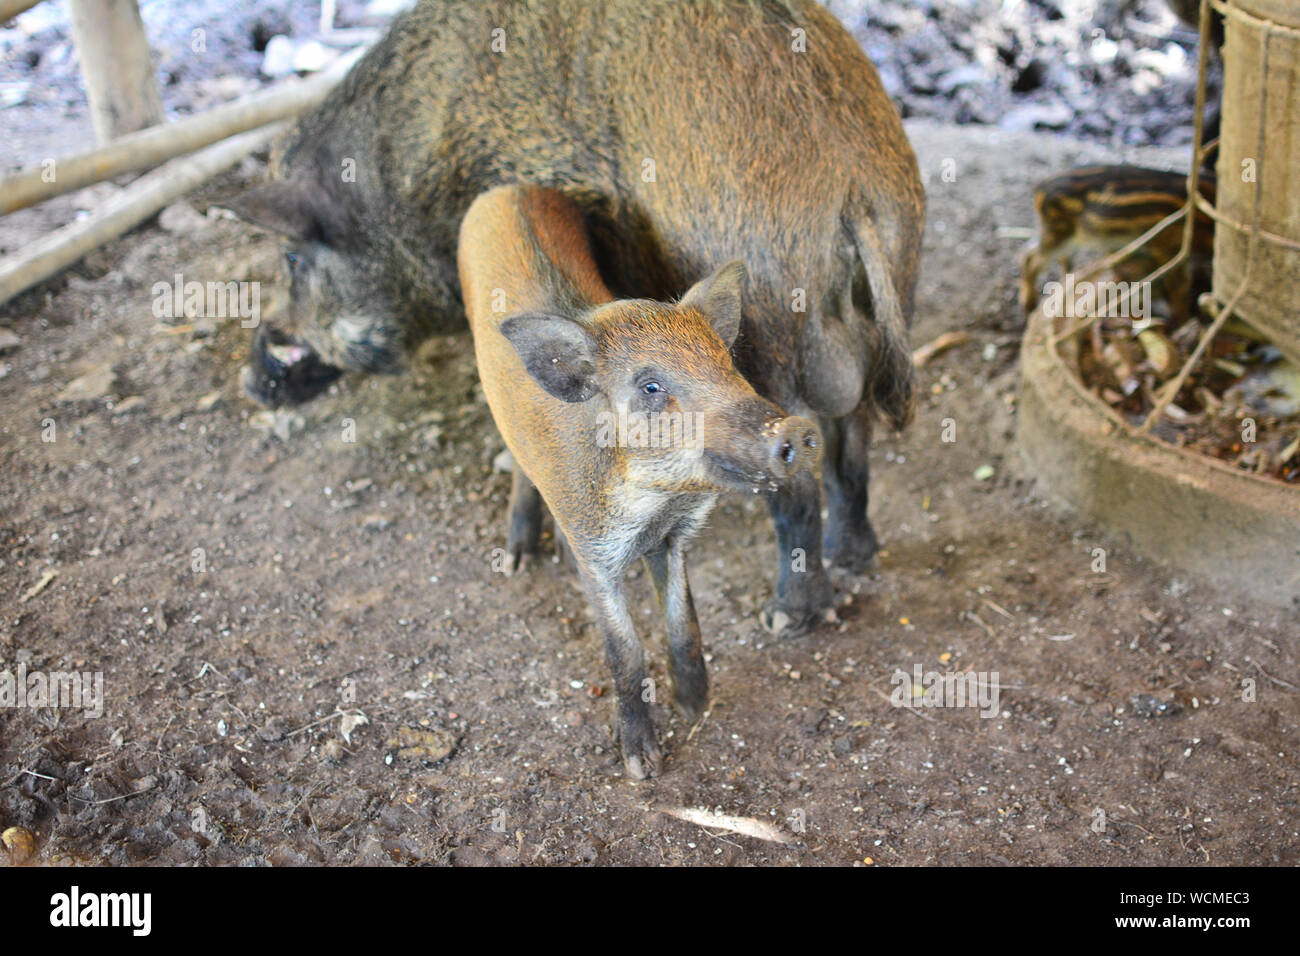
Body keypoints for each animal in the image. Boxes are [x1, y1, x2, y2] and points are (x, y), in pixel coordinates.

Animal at [226, 0, 924, 635]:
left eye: (293, 257)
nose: (249, 379)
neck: (403, 192)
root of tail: (854, 185)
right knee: (851, 439)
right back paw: (855, 558)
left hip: (770, 331)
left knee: (799, 471)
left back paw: (787, 618)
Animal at [460, 184, 821, 777]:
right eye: (650, 387)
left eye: (726, 362)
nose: (797, 428)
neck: (658, 503)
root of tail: (505, 189)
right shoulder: (598, 557)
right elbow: (624, 652)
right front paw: (643, 767)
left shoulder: (674, 540)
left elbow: (685, 623)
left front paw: (698, 707)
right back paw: (516, 560)